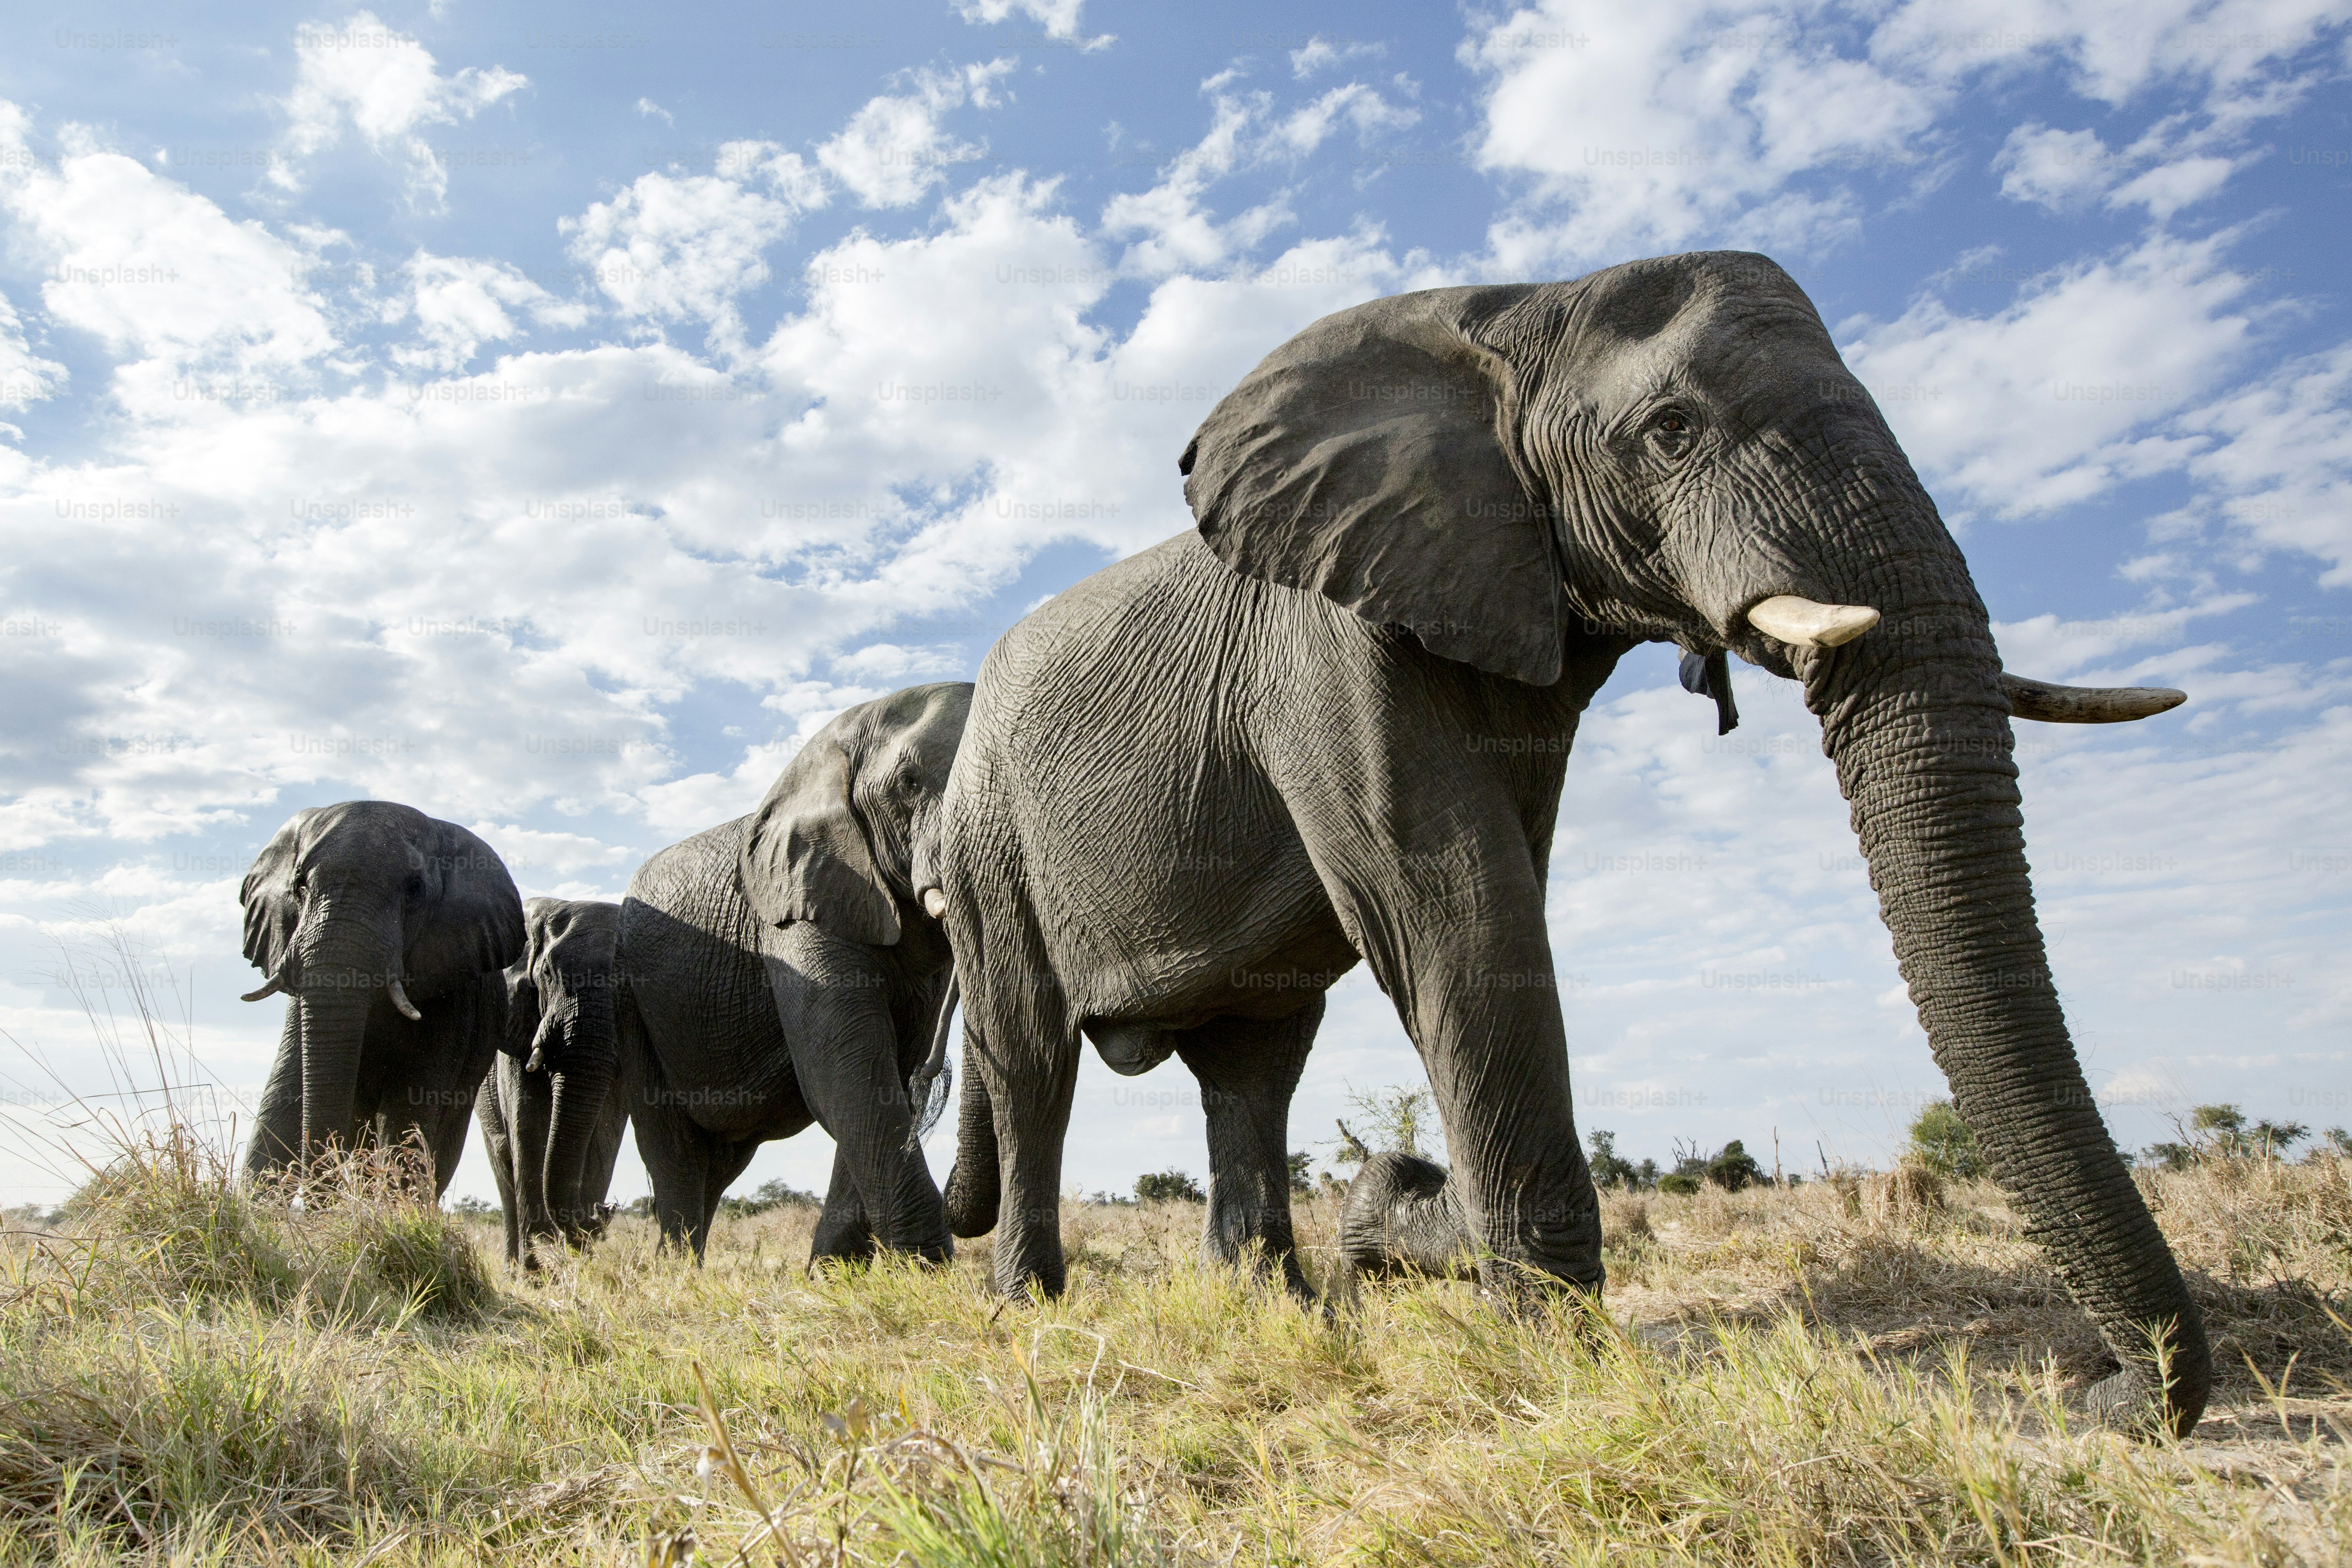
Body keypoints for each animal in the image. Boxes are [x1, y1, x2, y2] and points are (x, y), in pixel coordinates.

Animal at [240, 800, 524, 1196]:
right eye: (299, 886)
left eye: (414, 890)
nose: (317, 1183)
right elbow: (286, 1093)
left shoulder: (453, 994)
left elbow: (410, 1111)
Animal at [474, 898, 631, 1267]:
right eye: (547, 974)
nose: (602, 1211)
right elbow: (529, 1127)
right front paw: (542, 1264)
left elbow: (604, 1134)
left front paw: (581, 1259)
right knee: (504, 1169)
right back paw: (515, 1269)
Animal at [620, 682, 969, 1263]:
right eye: (908, 783)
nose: (937, 1073)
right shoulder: (797, 902)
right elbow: (845, 1068)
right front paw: (930, 1269)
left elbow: (882, 1075)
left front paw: (835, 1273)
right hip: (631, 1000)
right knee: (674, 1151)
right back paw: (676, 1271)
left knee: (720, 1163)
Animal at [933, 250, 2208, 1435]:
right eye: (1671, 430)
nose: (2101, 1395)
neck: (1519, 308)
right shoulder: (1328, 641)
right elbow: (1456, 905)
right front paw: (1549, 1344)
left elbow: (1501, 891)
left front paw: (1410, 1224)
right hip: (990, 848)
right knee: (1034, 1055)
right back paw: (1029, 1310)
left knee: (1254, 1067)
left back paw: (1275, 1307)